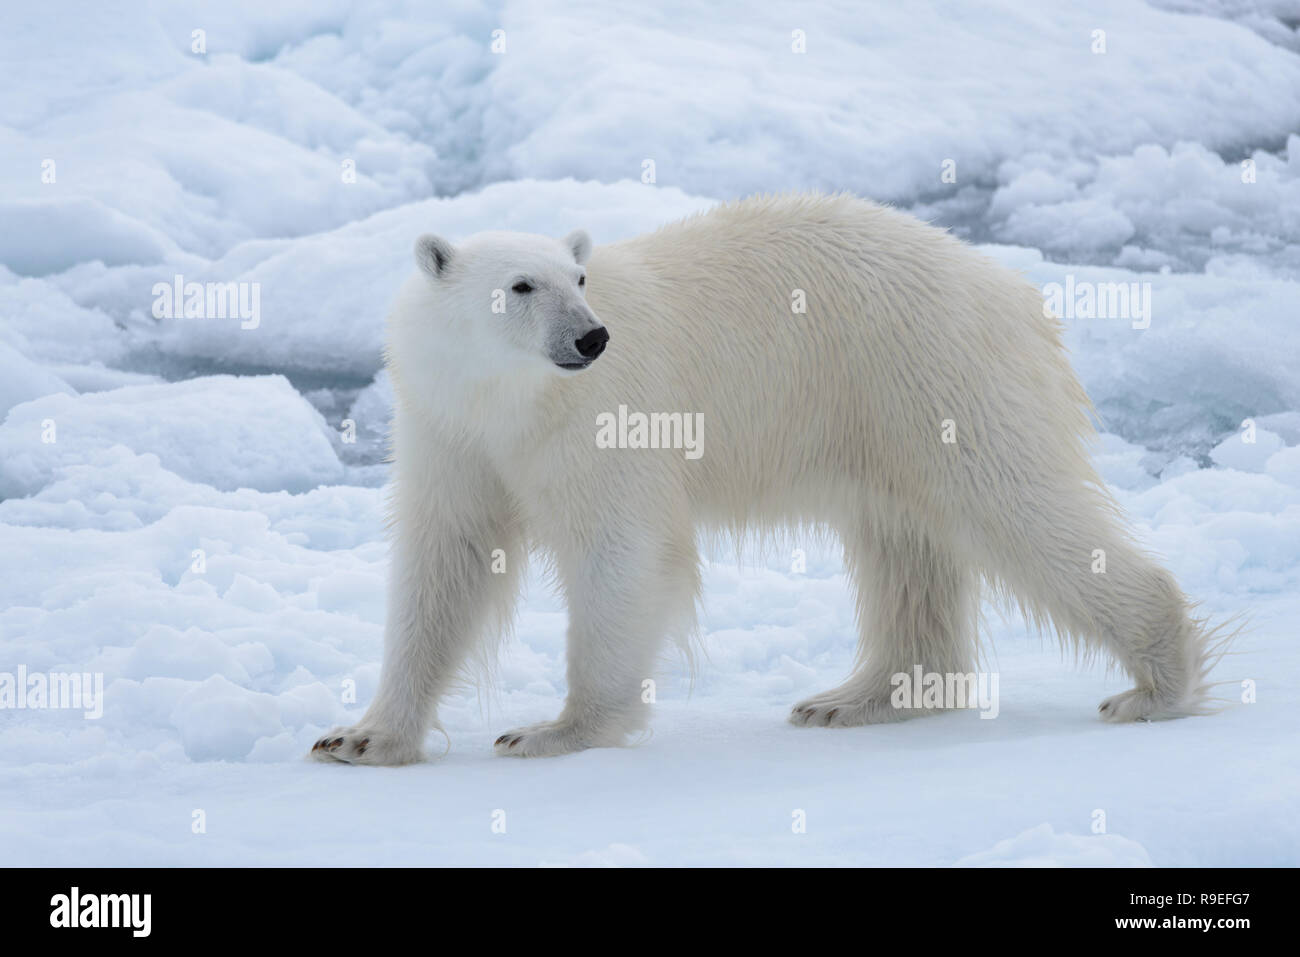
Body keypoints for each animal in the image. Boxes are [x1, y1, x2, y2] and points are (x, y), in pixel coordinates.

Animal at [311, 192, 1232, 765]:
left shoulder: (605, 418)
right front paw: (360, 738)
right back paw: (854, 697)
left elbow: (620, 552)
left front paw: (553, 730)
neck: (513, 401)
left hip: (934, 374)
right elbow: (447, 562)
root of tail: (1015, 294)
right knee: (905, 546)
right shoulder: (449, 430)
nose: (590, 337)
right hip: (886, 410)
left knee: (1019, 506)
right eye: (521, 284)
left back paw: (1155, 685)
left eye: (580, 279)